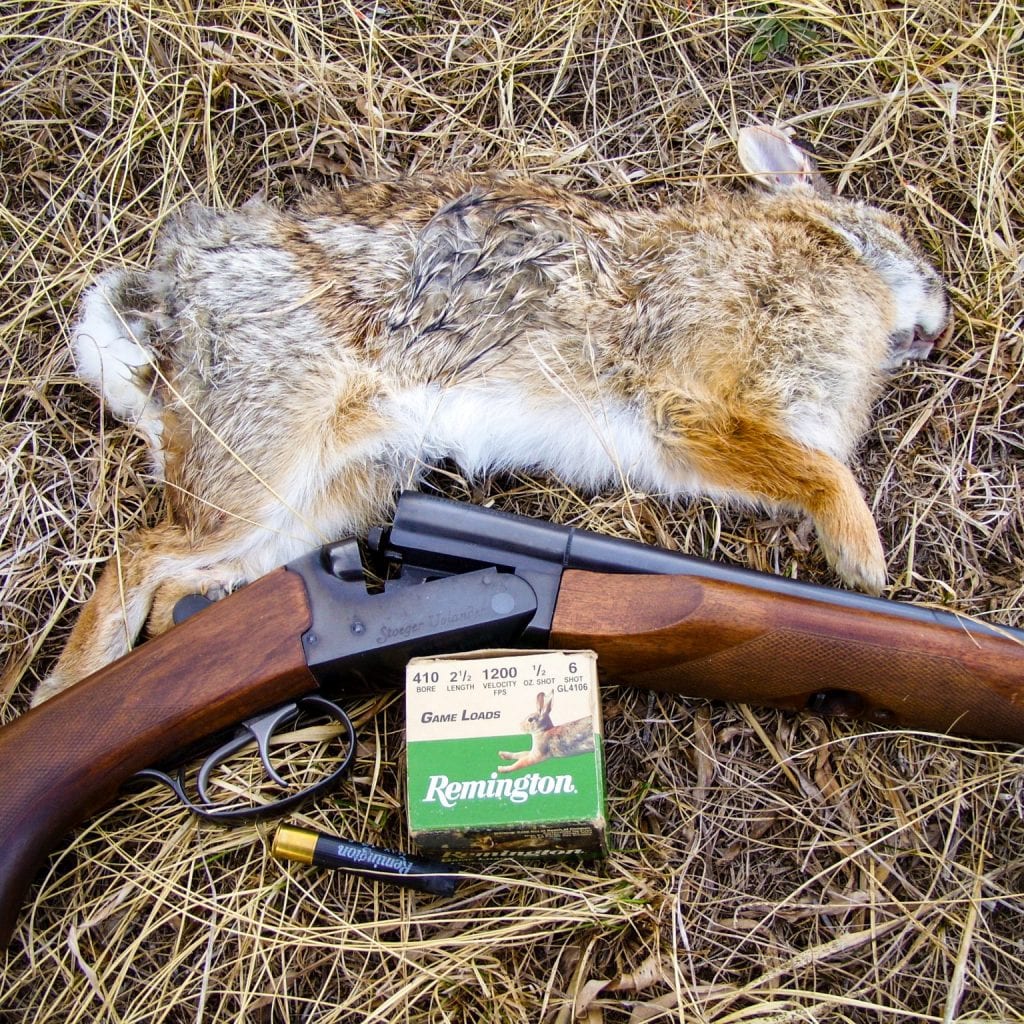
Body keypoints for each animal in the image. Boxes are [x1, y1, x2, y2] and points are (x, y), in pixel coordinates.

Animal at [34, 122, 952, 704]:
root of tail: (176, 306)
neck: (819, 250)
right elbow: (814, 468)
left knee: (183, 585)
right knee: (139, 558)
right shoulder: (682, 404)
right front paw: (864, 562)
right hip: (263, 456)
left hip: (334, 492)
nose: (942, 312)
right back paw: (69, 693)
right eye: (900, 235)